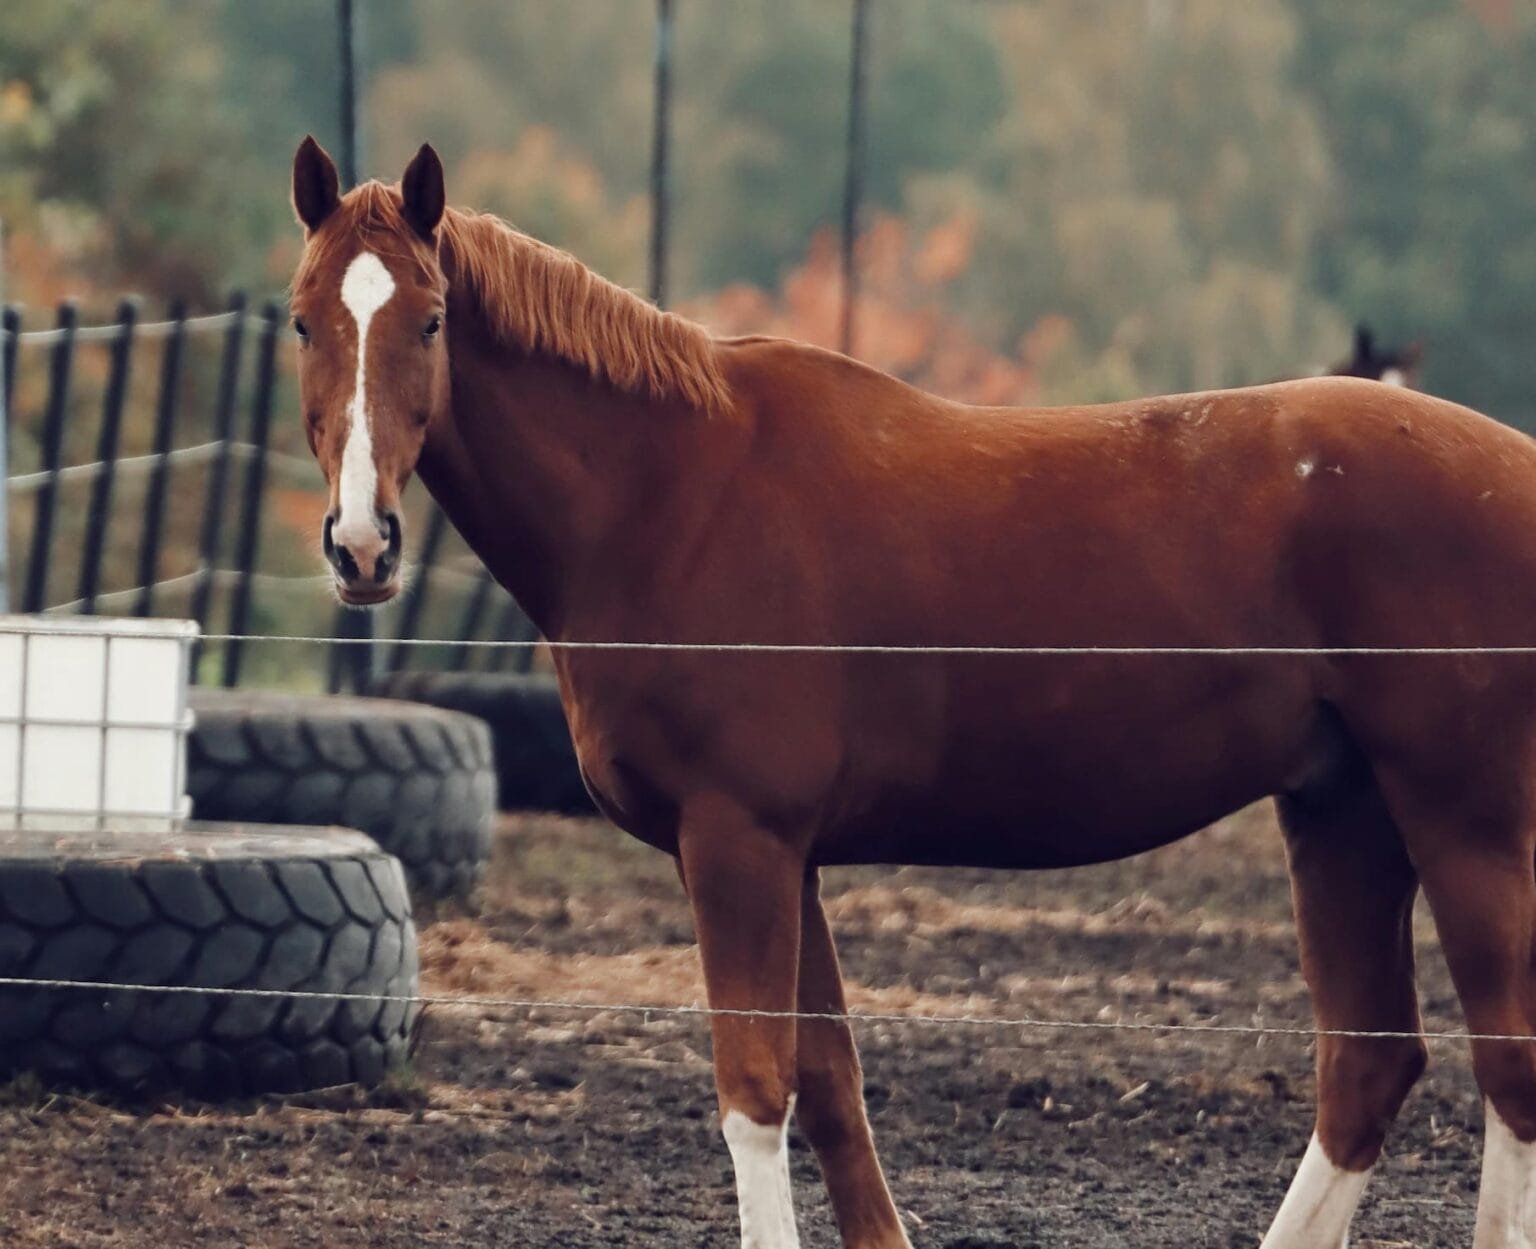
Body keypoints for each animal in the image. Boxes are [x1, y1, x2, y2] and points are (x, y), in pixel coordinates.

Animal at [288, 136, 1536, 1249]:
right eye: (305, 320)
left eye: (431, 319)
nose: (362, 543)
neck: (675, 493)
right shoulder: (786, 858)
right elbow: (830, 1082)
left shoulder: (738, 841)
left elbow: (755, 1087)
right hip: (1342, 812)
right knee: (1368, 1067)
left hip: (1464, 825)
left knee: (1507, 1063)